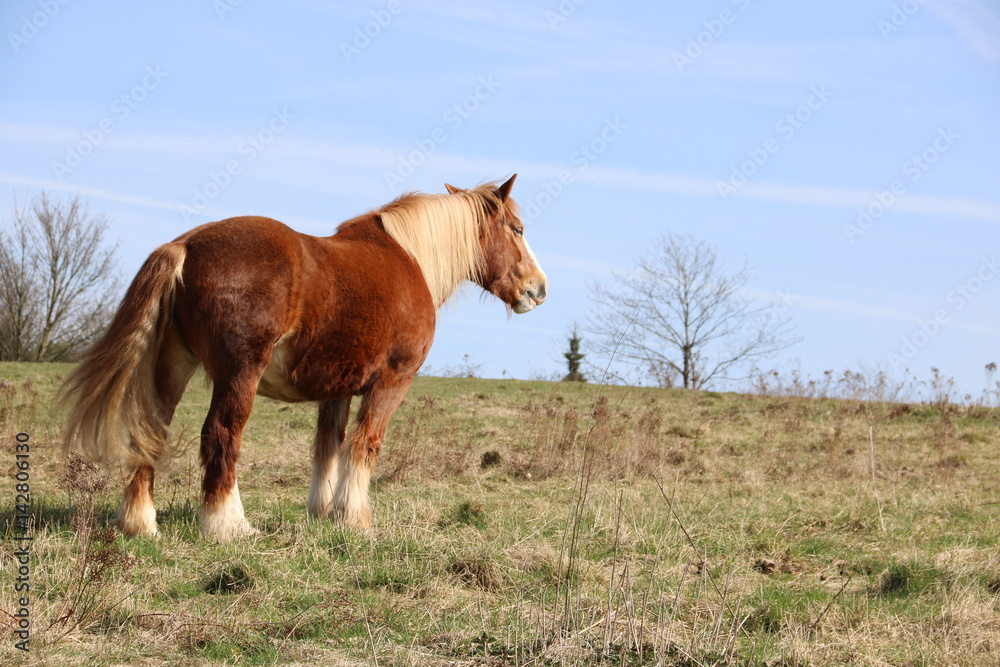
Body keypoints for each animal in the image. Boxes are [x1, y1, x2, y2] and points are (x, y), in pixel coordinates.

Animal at [61, 174, 547, 540]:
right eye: (518, 229)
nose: (538, 289)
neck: (410, 260)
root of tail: (186, 245)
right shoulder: (391, 382)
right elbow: (364, 446)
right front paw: (356, 519)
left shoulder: (338, 389)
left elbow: (327, 447)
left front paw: (324, 513)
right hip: (240, 374)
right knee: (221, 434)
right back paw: (228, 525)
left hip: (172, 367)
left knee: (150, 431)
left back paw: (140, 523)